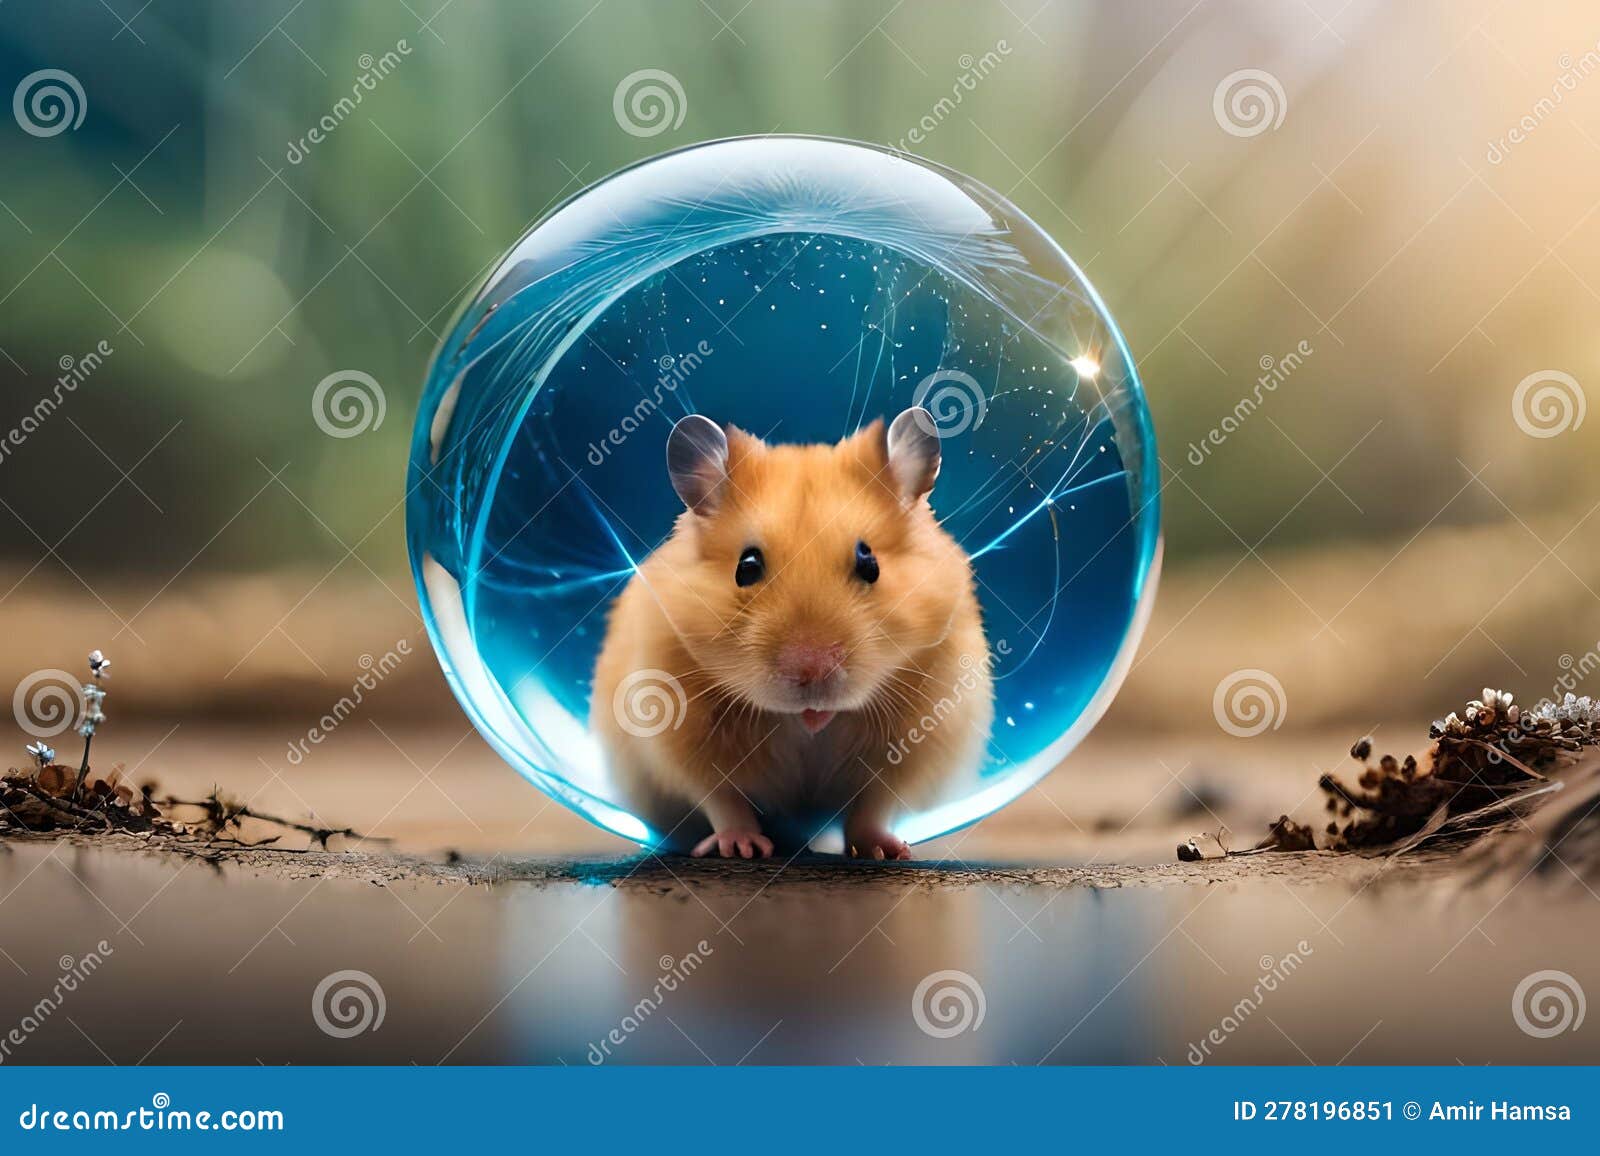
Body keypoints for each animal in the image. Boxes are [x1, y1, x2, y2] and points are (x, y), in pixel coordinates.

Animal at [589, 407, 992, 860]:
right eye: (746, 566)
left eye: (870, 564)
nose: (812, 673)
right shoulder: (681, 745)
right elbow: (723, 799)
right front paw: (743, 849)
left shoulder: (919, 744)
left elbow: (874, 806)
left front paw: (890, 852)